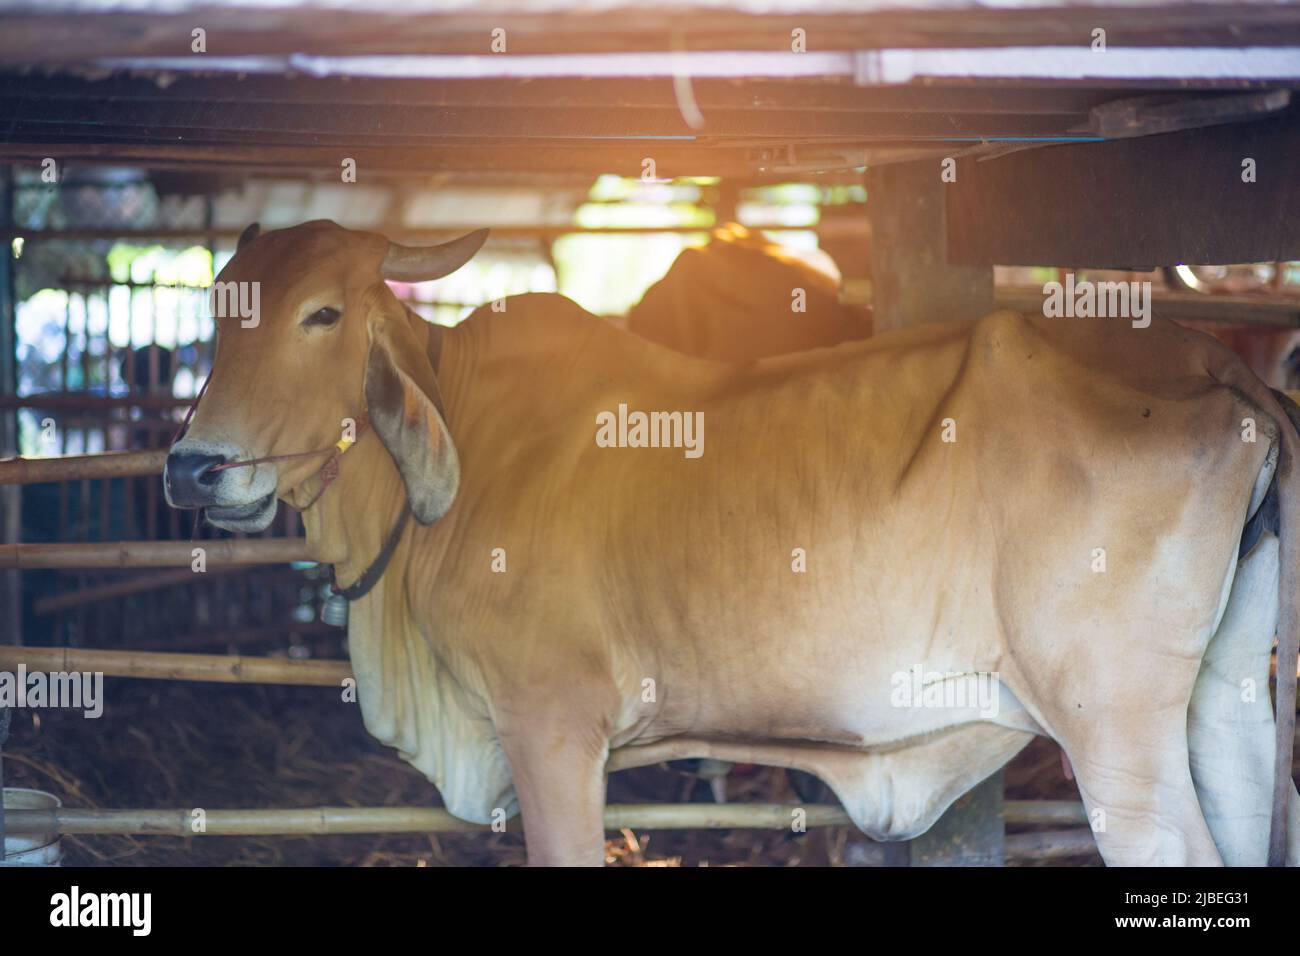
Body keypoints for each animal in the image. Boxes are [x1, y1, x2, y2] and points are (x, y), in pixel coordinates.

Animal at [165, 219, 1300, 866]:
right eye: (219, 313)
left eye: (322, 313)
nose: (193, 467)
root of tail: (1217, 366)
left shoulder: (552, 727)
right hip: (1226, 704)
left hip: (1115, 733)